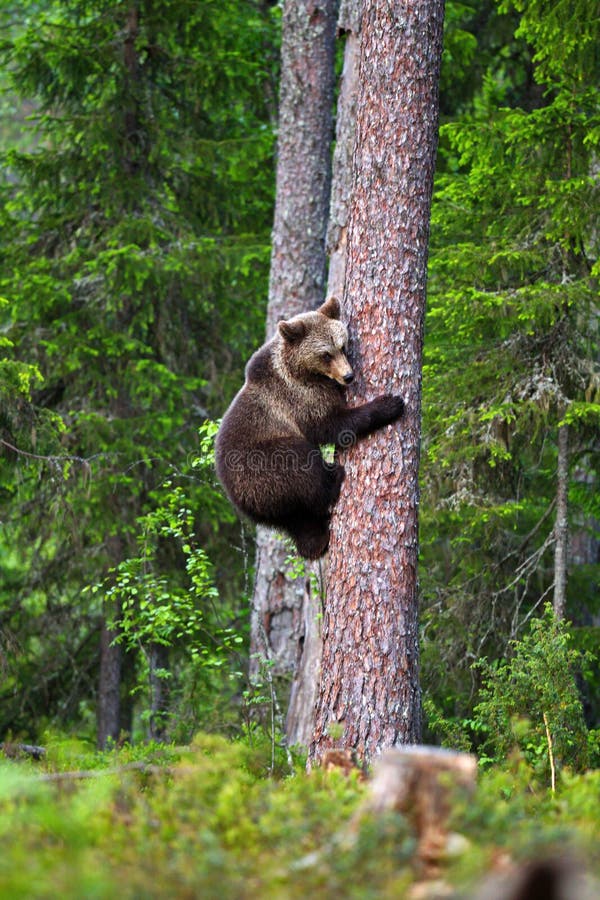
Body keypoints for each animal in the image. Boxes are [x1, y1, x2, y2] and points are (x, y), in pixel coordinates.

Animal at [215, 296, 404, 559]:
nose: (348, 376)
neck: (303, 372)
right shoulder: (298, 398)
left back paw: (316, 540)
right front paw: (389, 404)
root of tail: (236, 496)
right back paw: (334, 476)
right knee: (300, 463)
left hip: (272, 507)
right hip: (260, 464)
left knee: (298, 520)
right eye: (325, 354)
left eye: (342, 346)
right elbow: (332, 426)